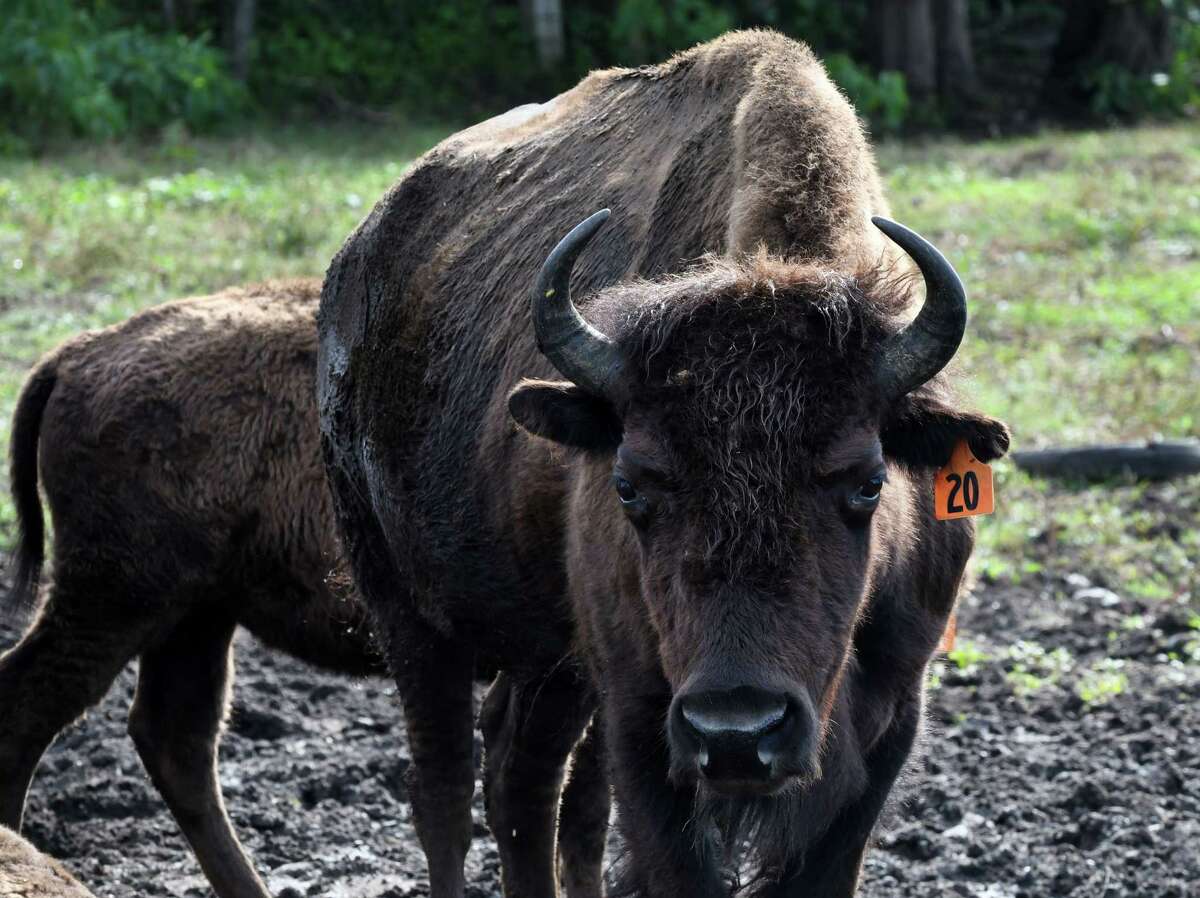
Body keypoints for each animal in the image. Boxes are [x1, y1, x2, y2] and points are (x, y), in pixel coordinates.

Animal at [319, 29, 1008, 898]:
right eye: (630, 486)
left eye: (868, 483)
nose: (739, 731)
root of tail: (355, 265)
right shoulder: (641, 717)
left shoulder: (889, 724)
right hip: (407, 611)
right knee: (445, 786)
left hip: (549, 659)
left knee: (524, 773)